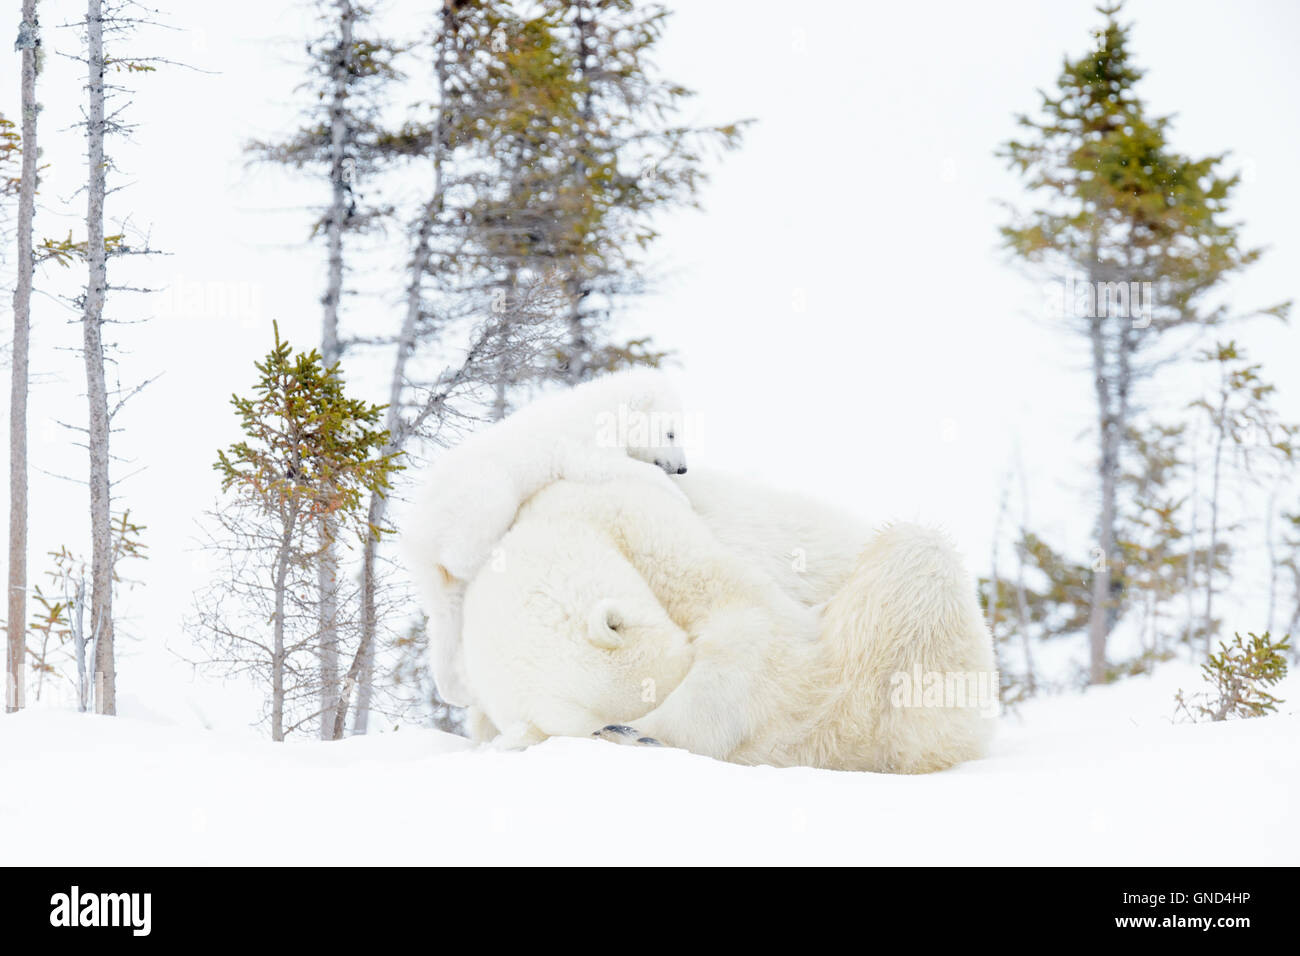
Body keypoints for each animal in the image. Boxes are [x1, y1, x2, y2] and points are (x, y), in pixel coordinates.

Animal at [401, 368, 688, 707]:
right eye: (670, 433)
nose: (682, 468)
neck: (604, 410)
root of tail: (416, 531)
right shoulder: (581, 443)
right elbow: (599, 466)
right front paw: (677, 494)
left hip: (435, 573)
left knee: (445, 615)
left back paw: (456, 689)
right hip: (479, 490)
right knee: (472, 538)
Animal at [458, 468, 998, 773]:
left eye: (670, 683)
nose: (618, 728)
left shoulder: (626, 508)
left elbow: (750, 618)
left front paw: (642, 734)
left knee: (916, 553)